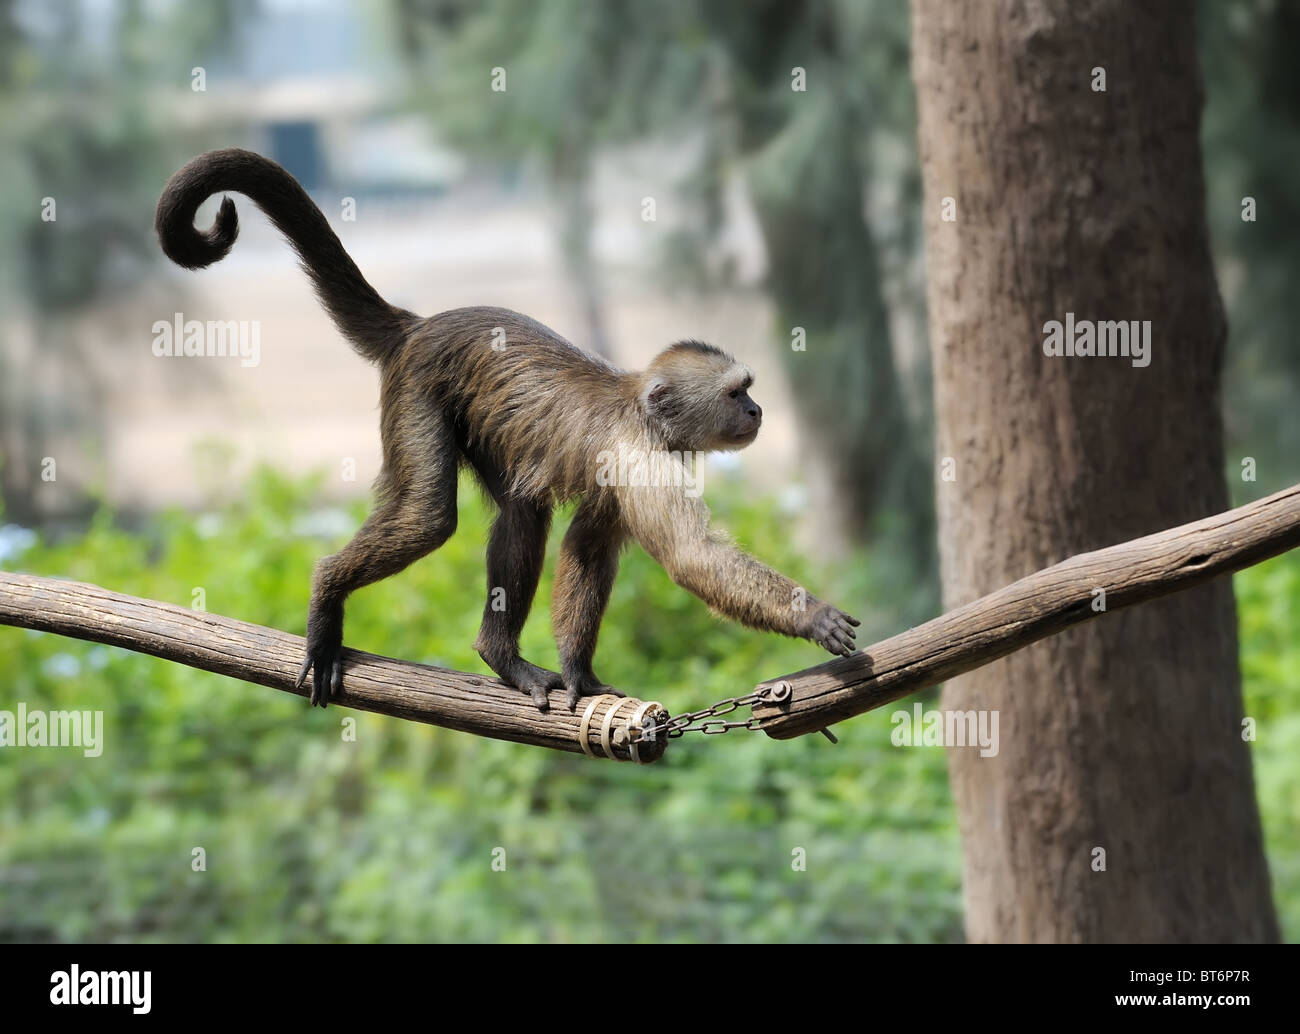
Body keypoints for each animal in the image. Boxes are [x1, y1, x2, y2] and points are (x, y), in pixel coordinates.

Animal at [156, 149, 860, 711]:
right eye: (738, 392)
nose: (757, 412)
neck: (640, 411)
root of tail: (417, 325)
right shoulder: (642, 457)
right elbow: (693, 557)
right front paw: (812, 614)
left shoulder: (629, 470)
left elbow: (589, 546)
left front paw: (579, 670)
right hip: (418, 389)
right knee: (429, 516)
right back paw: (330, 591)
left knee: (523, 510)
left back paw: (499, 656)